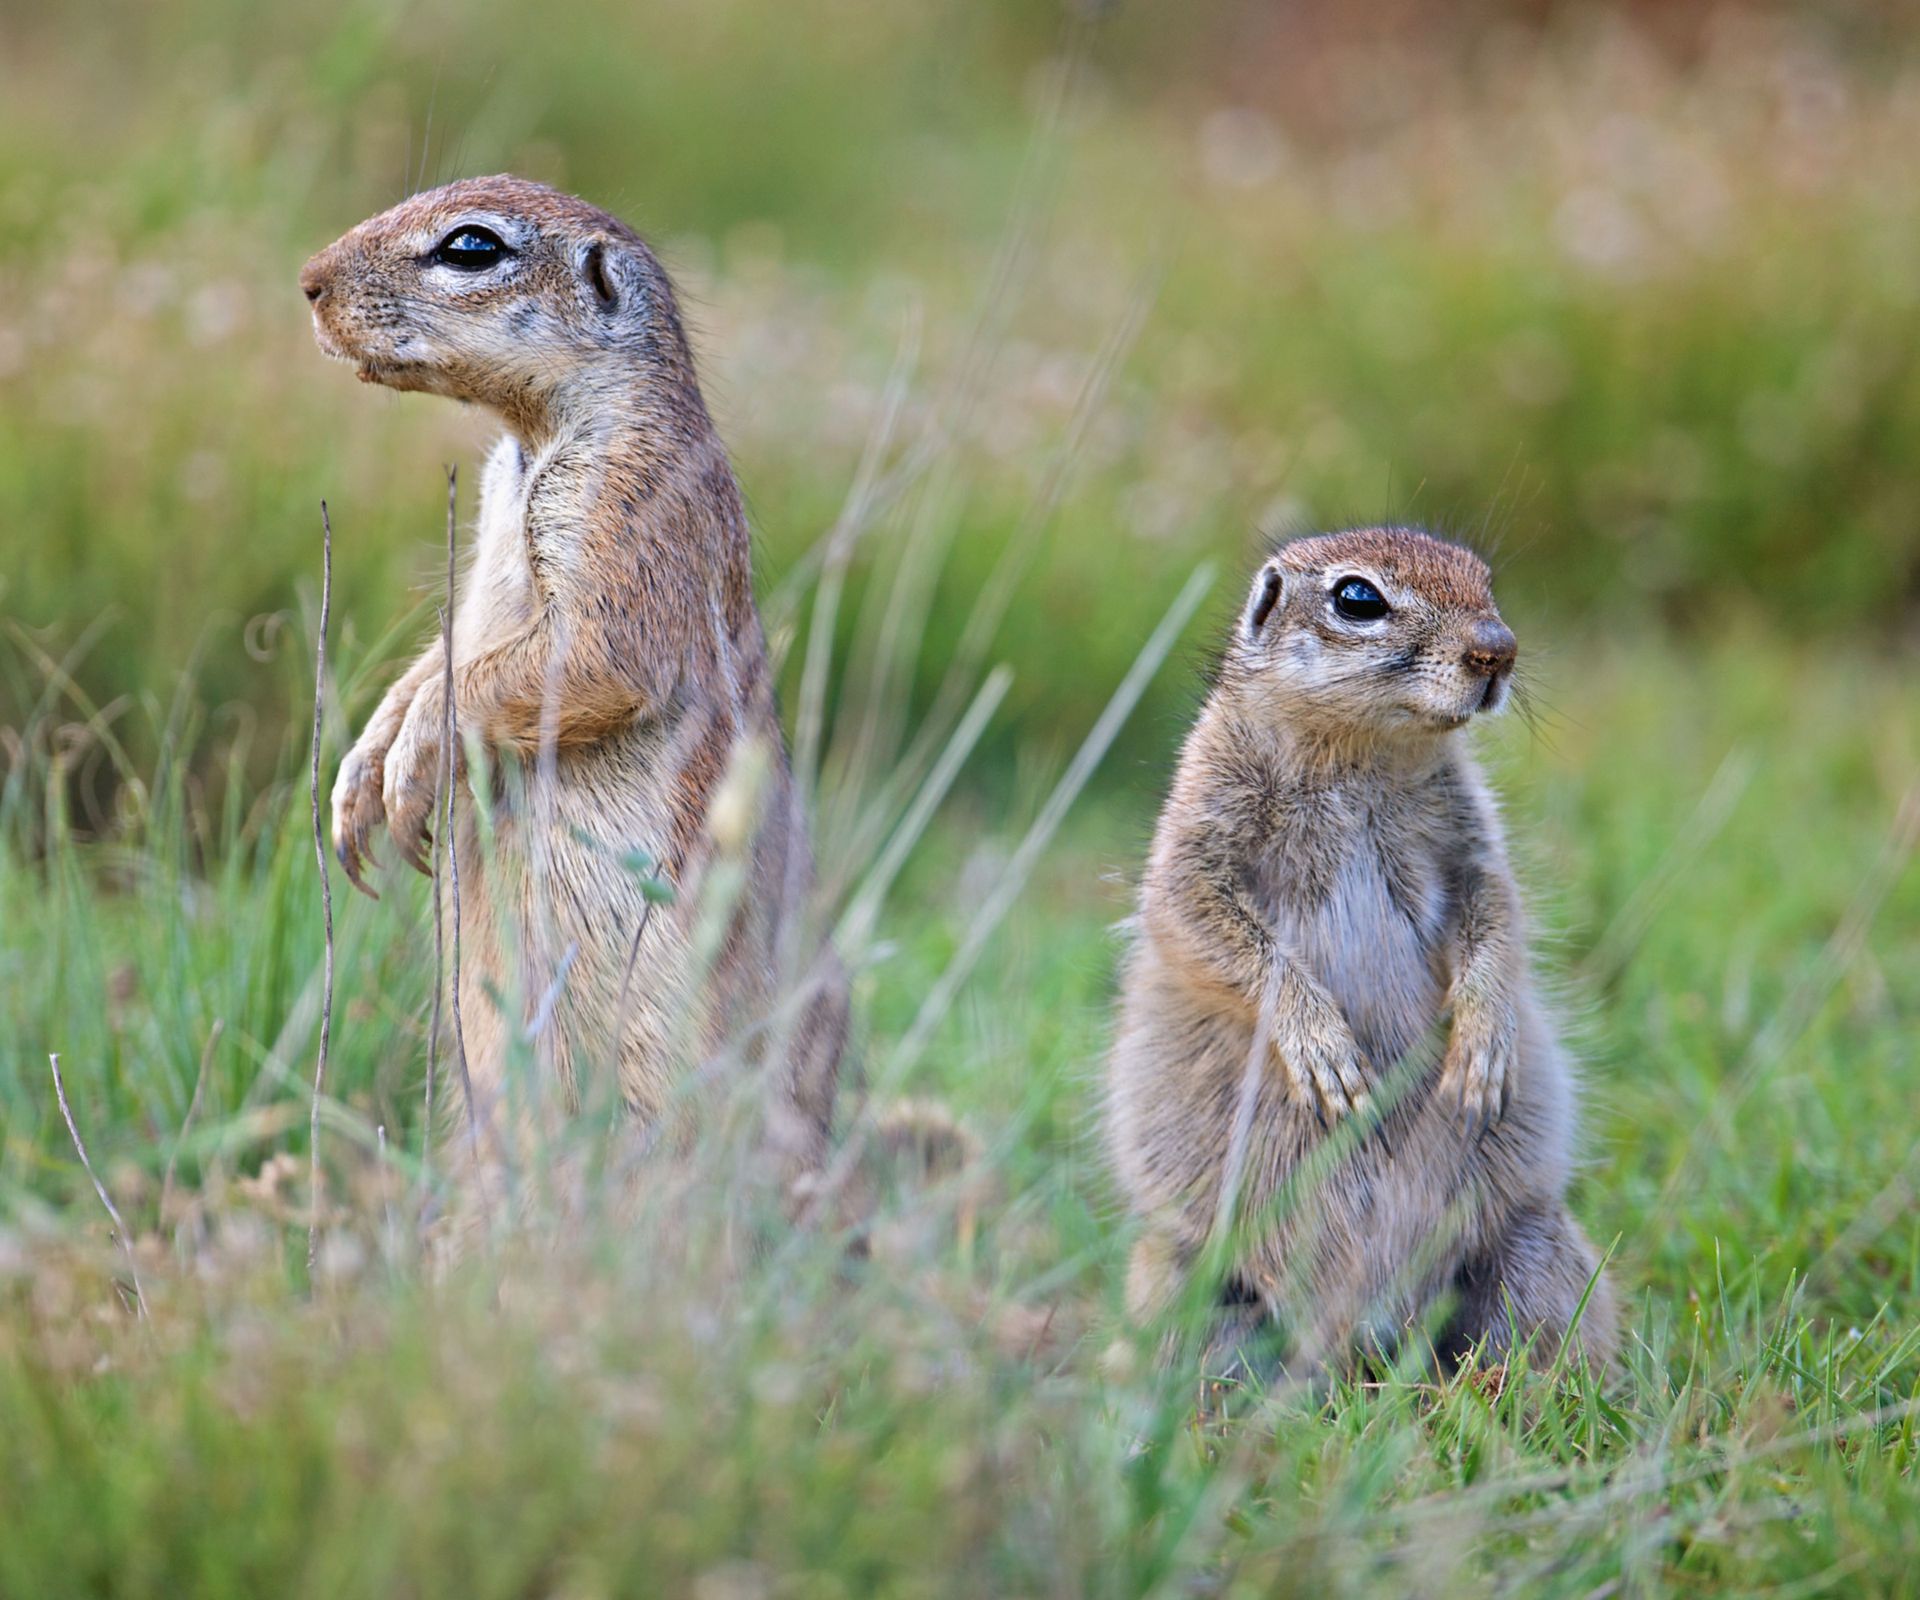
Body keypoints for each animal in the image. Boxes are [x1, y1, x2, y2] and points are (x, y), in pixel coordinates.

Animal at [300, 176, 847, 1199]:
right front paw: (360, 773)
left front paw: (410, 762)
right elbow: (442, 656)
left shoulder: (629, 504)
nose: (308, 281)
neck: (530, 440)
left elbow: (579, 659)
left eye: (470, 247)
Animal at [1105, 527, 1616, 1378]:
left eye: (1485, 581)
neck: (1363, 752)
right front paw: (1322, 1048)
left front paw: (1483, 1044)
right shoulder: (1197, 835)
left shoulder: (1474, 843)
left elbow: (1497, 916)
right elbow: (1203, 924)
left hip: (1538, 1250)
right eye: (1357, 598)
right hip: (1180, 1274)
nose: (1499, 650)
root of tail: (1366, 1330)